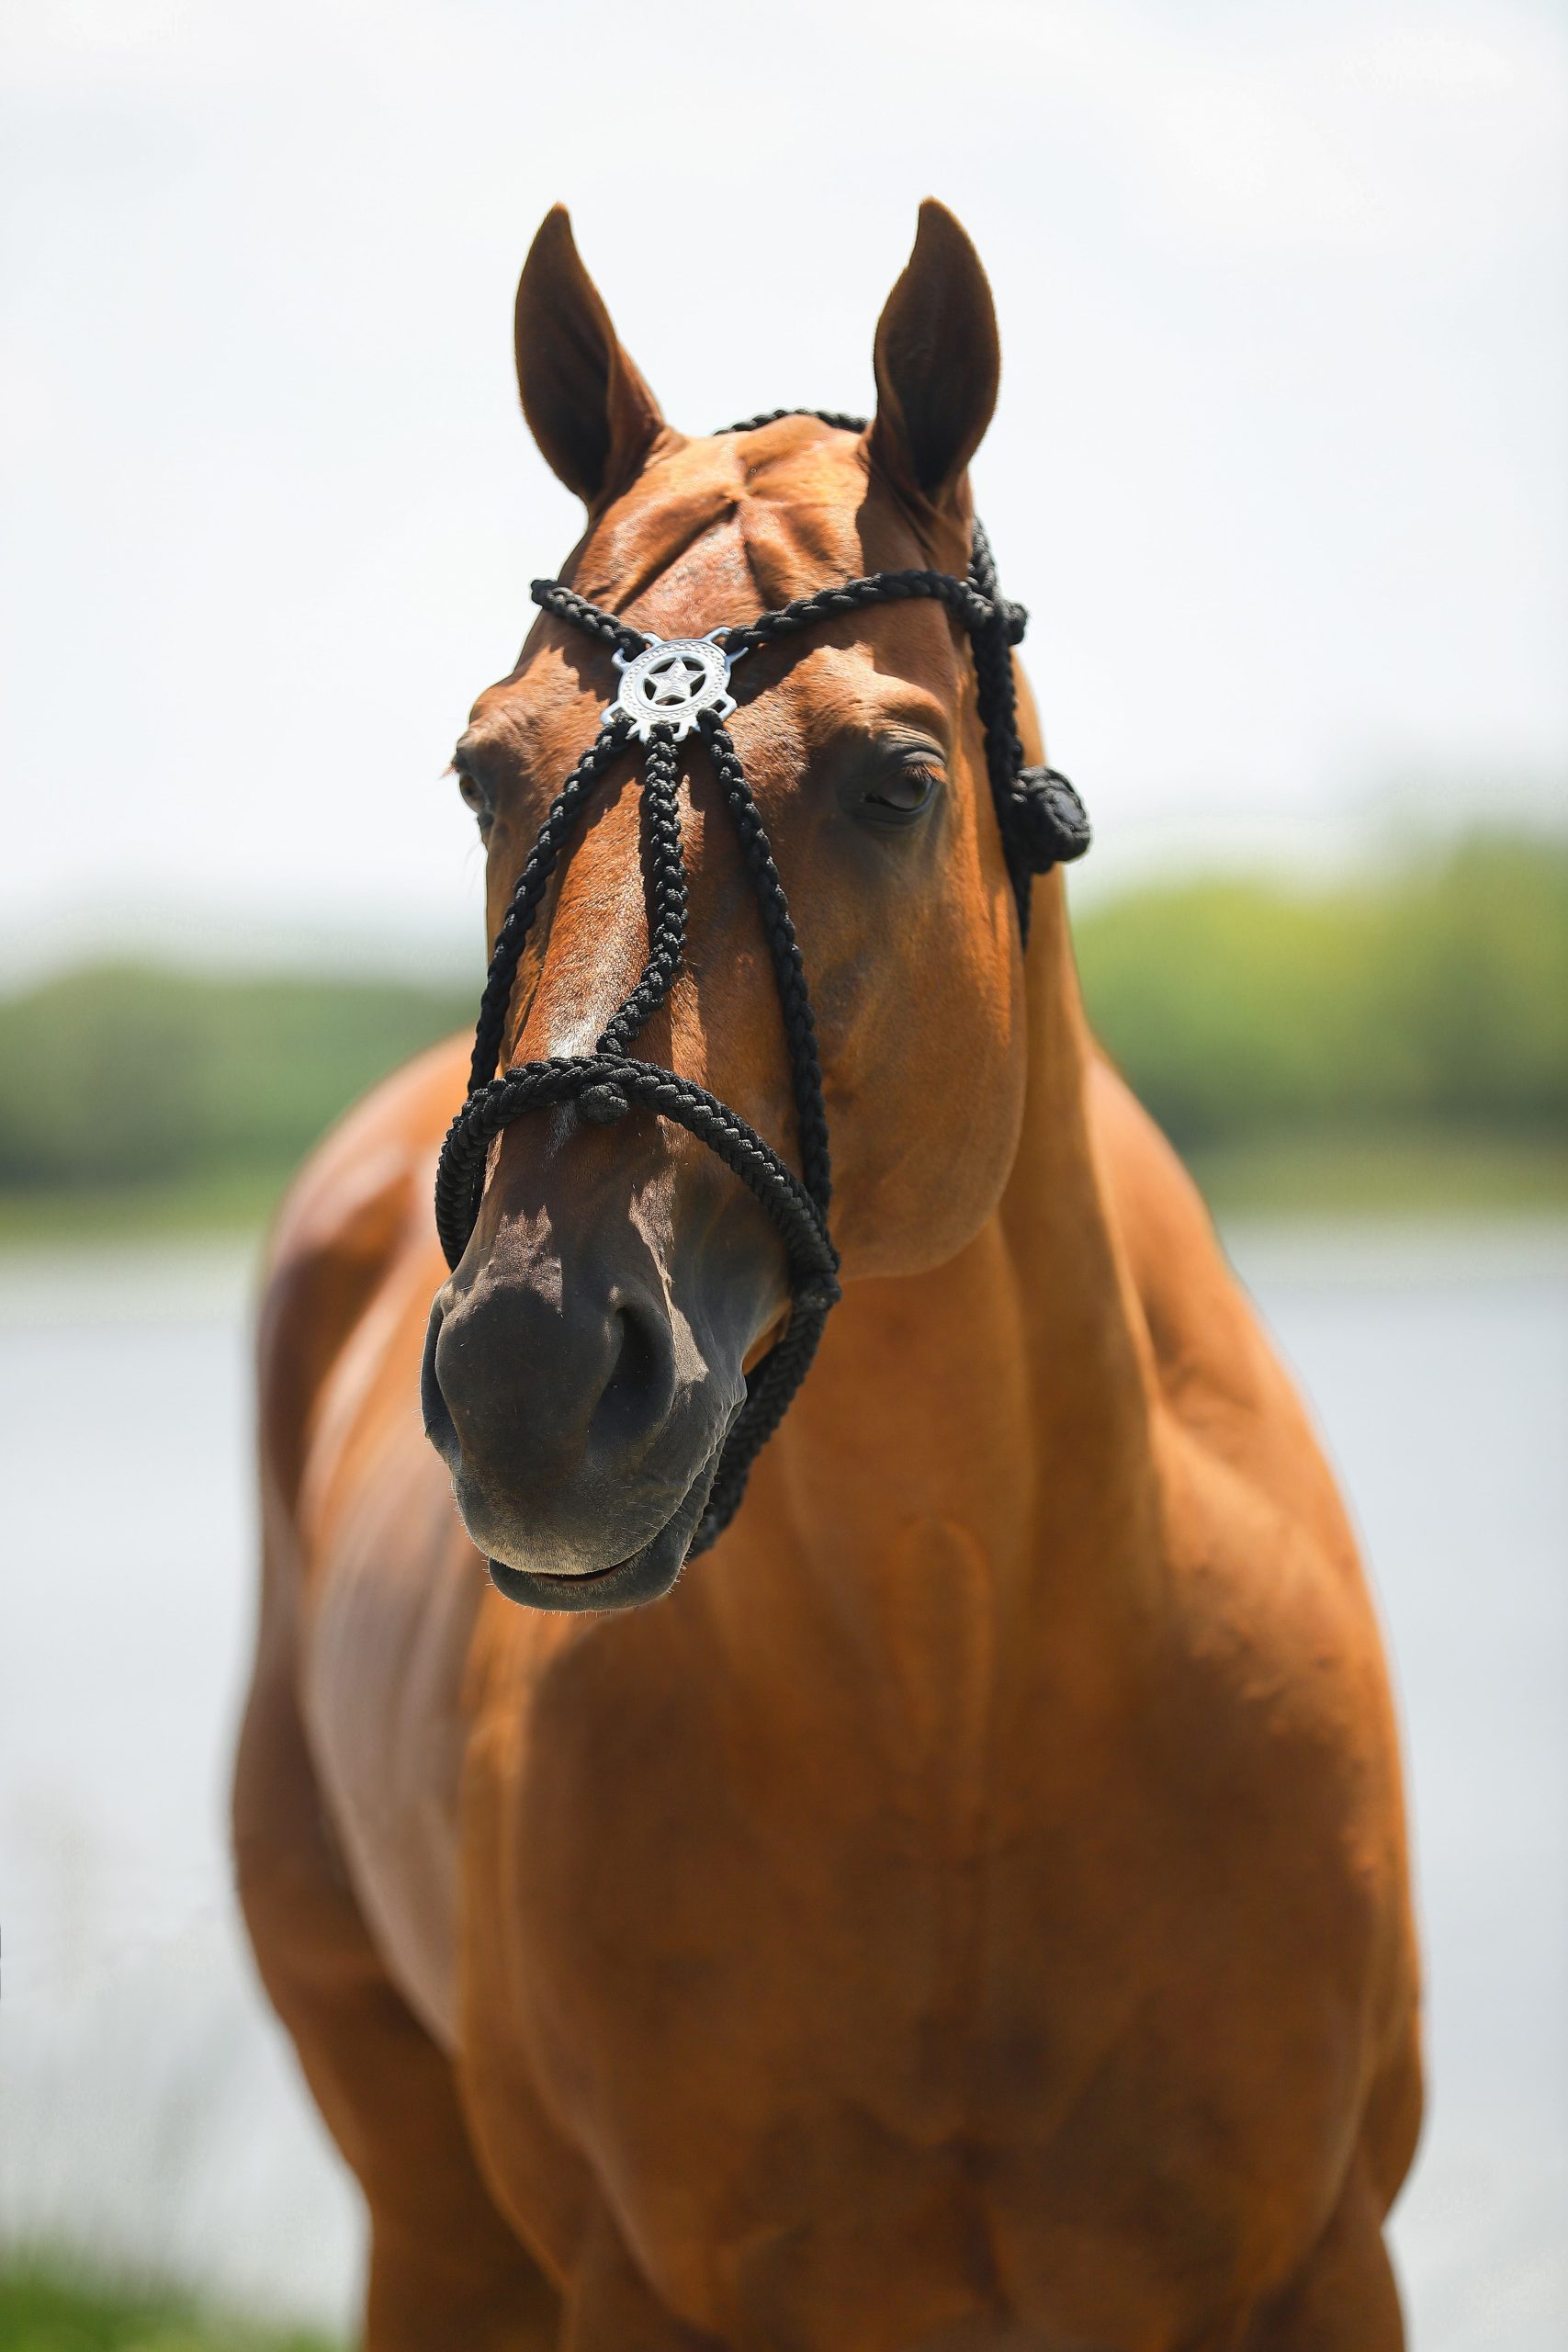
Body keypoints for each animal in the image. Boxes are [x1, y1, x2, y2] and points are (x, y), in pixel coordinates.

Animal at [234, 200, 1422, 2350]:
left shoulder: (1320, 2264)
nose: (535, 1377)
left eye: (894, 777)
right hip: (424, 2211)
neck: (966, 1709)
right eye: (479, 773)